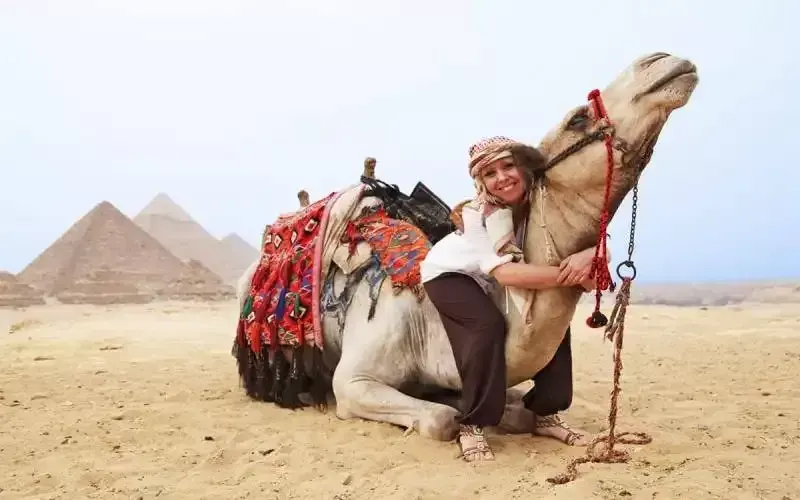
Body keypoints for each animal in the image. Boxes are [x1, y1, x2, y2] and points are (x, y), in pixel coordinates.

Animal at [235, 52, 699, 441]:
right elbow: (442, 419)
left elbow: (513, 409)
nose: (662, 61)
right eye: (578, 119)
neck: (427, 324)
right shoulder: (354, 381)